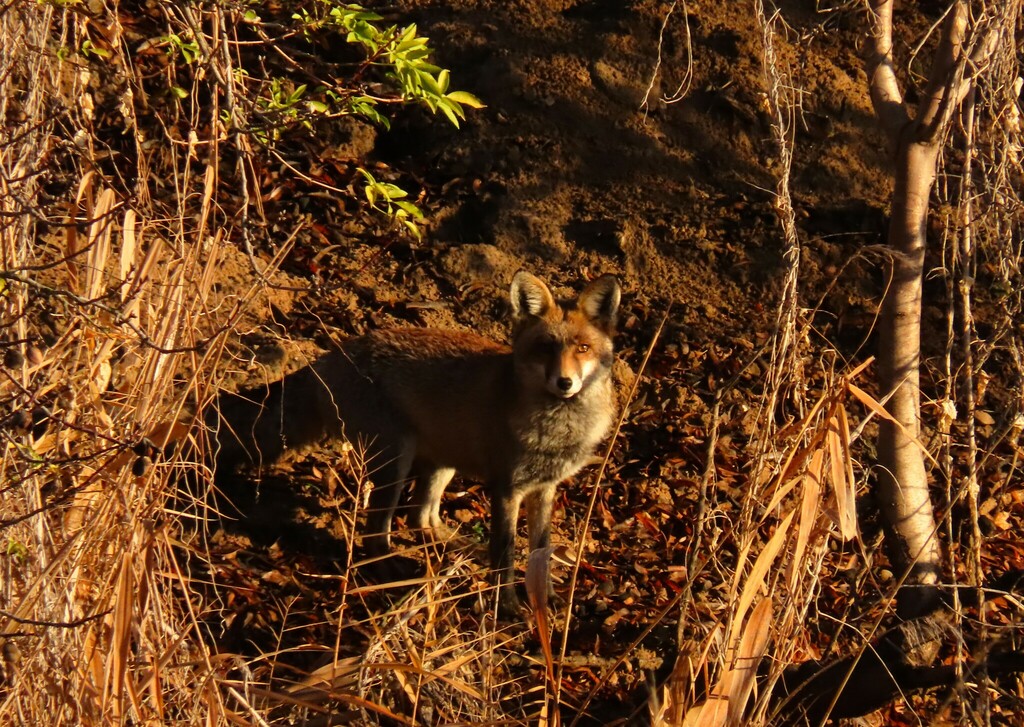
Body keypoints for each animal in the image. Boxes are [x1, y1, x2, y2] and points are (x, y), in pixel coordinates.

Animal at [206, 270, 621, 615]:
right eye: (545, 348)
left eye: (582, 349)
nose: (564, 383)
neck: (556, 429)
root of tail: (329, 357)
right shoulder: (507, 488)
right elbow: (504, 555)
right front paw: (508, 608)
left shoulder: (545, 488)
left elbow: (542, 552)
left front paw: (545, 599)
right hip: (396, 459)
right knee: (377, 532)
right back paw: (391, 572)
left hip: (441, 462)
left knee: (420, 517)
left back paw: (452, 546)